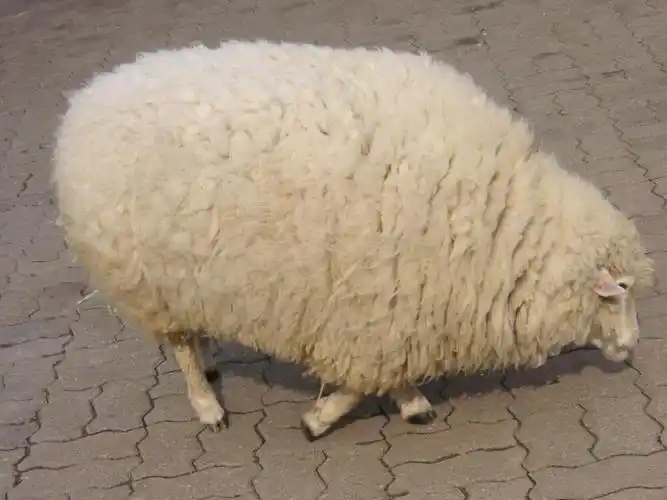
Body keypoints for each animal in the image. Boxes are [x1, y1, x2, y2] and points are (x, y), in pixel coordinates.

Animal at [52, 39, 654, 441]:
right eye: (620, 288)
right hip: (145, 278)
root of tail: (90, 97)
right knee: (177, 347)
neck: (503, 223)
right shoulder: (374, 309)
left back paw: (210, 358)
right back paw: (207, 404)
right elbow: (363, 381)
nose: (631, 346)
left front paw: (411, 404)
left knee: (190, 333)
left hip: (182, 274)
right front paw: (320, 419)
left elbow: (391, 372)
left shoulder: (394, 312)